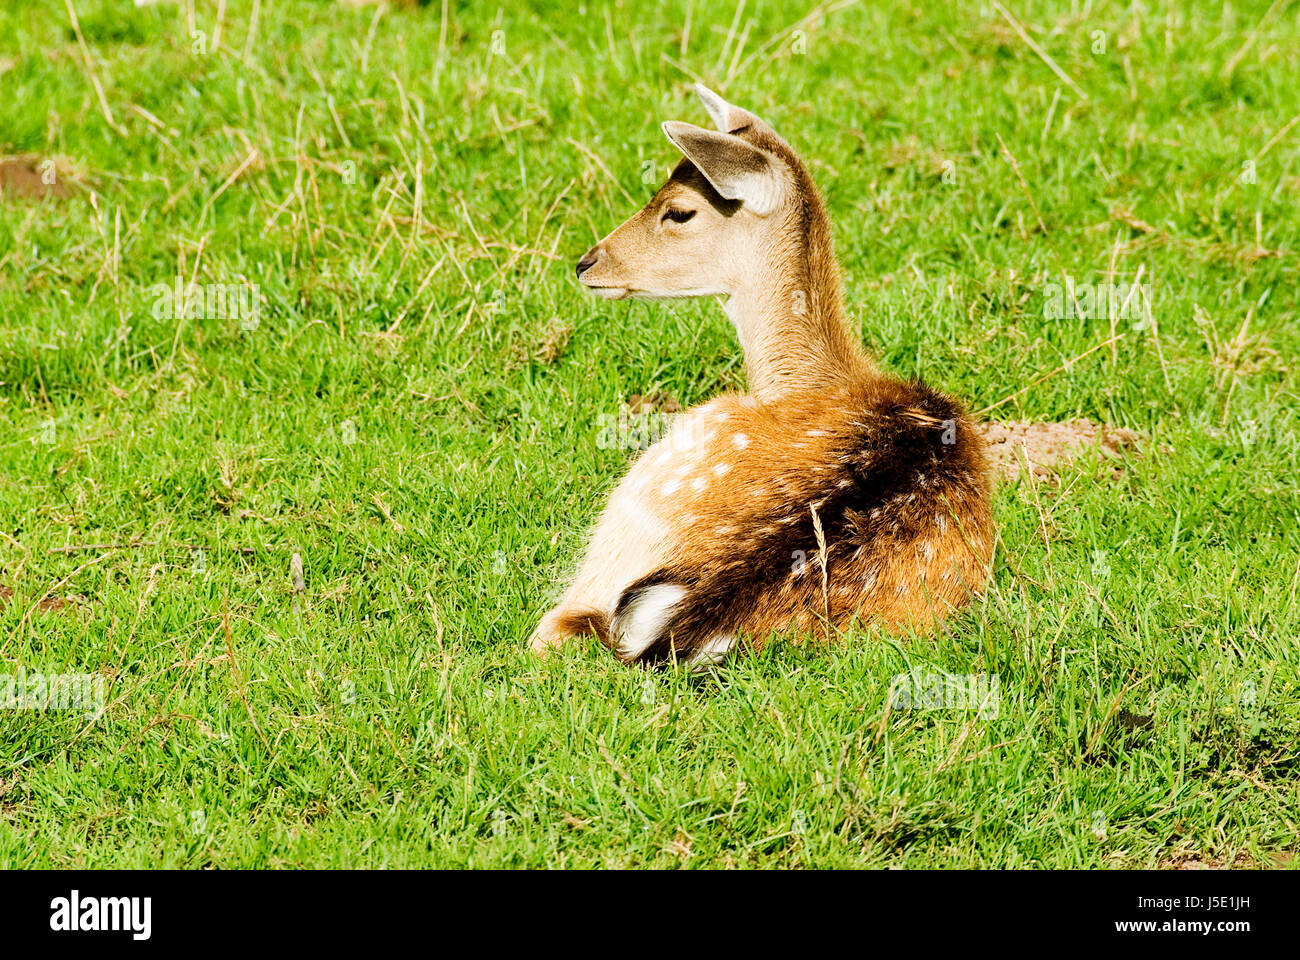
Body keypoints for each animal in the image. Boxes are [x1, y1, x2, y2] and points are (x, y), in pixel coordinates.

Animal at [528, 85, 994, 669]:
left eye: (679, 211)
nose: (586, 264)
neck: (813, 375)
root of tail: (699, 607)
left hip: (665, 462)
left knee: (553, 629)